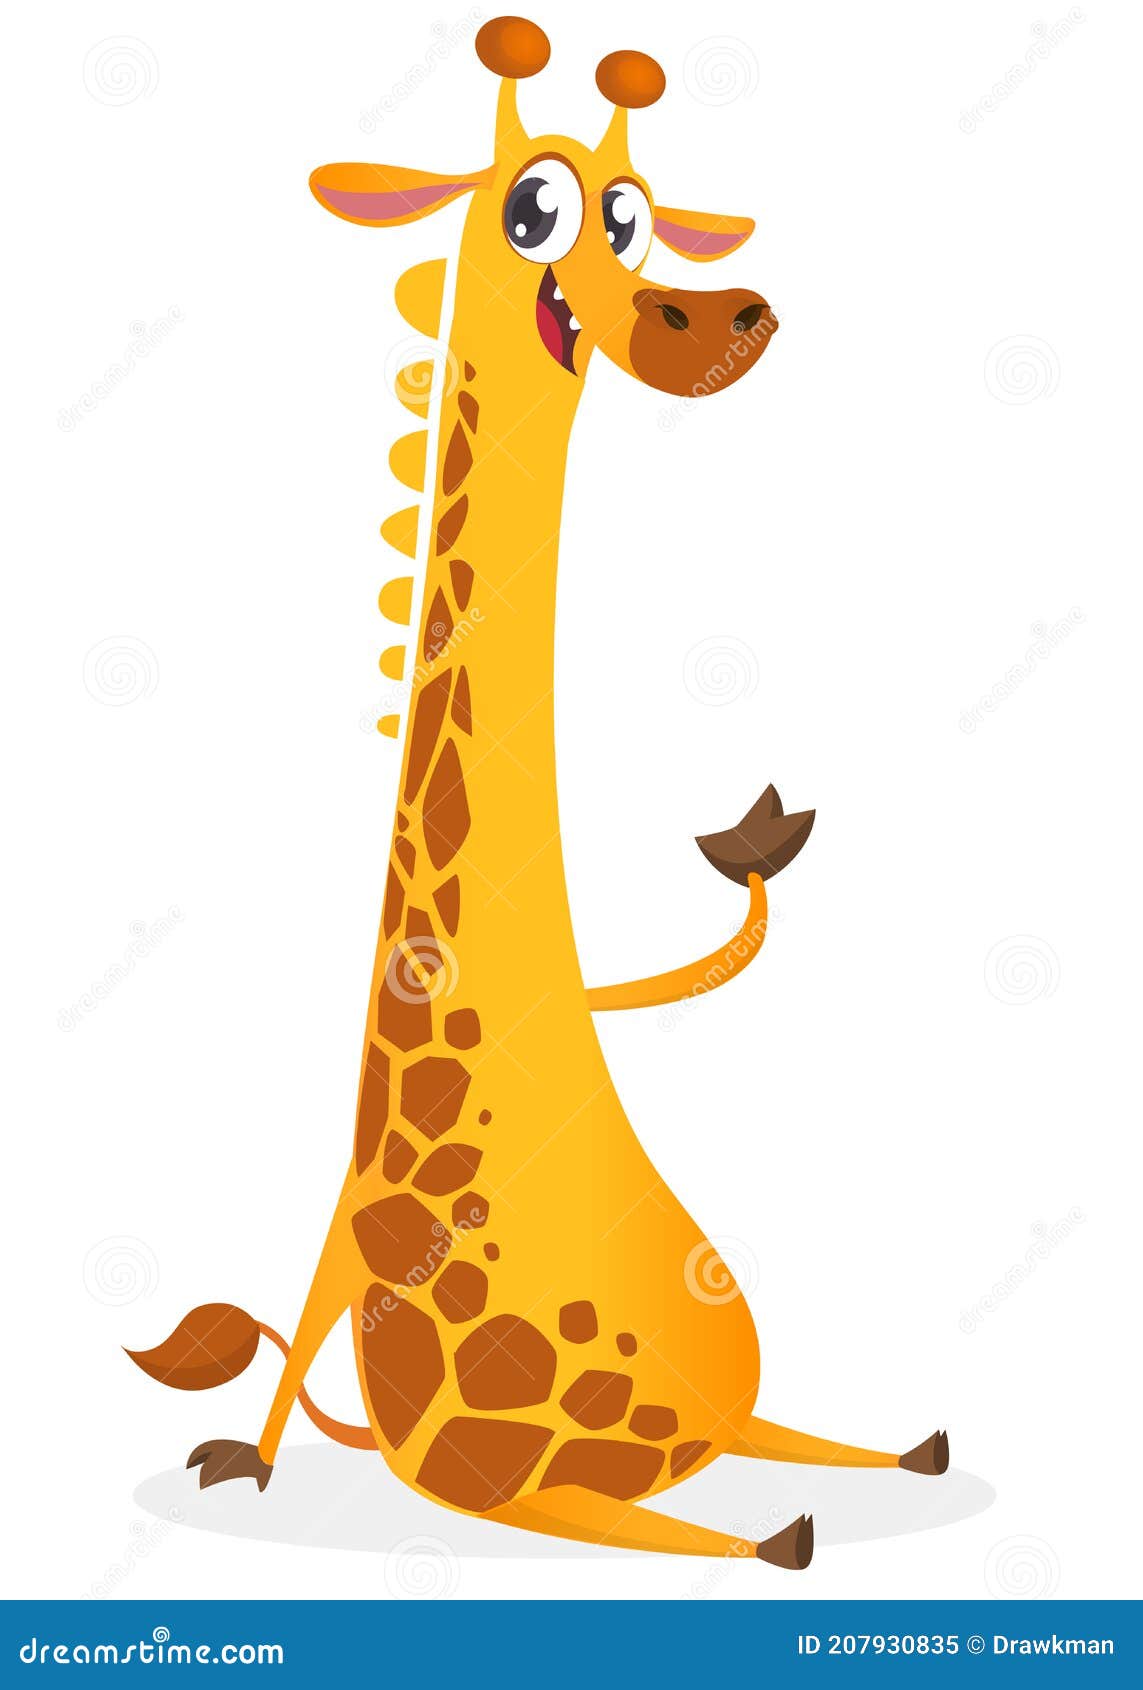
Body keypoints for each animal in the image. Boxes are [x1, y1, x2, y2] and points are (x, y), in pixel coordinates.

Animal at [128, 17, 948, 1568]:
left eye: (639, 215)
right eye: (538, 212)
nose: (730, 316)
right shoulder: (481, 1463)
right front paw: (237, 1456)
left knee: (770, 1447)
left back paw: (897, 1447)